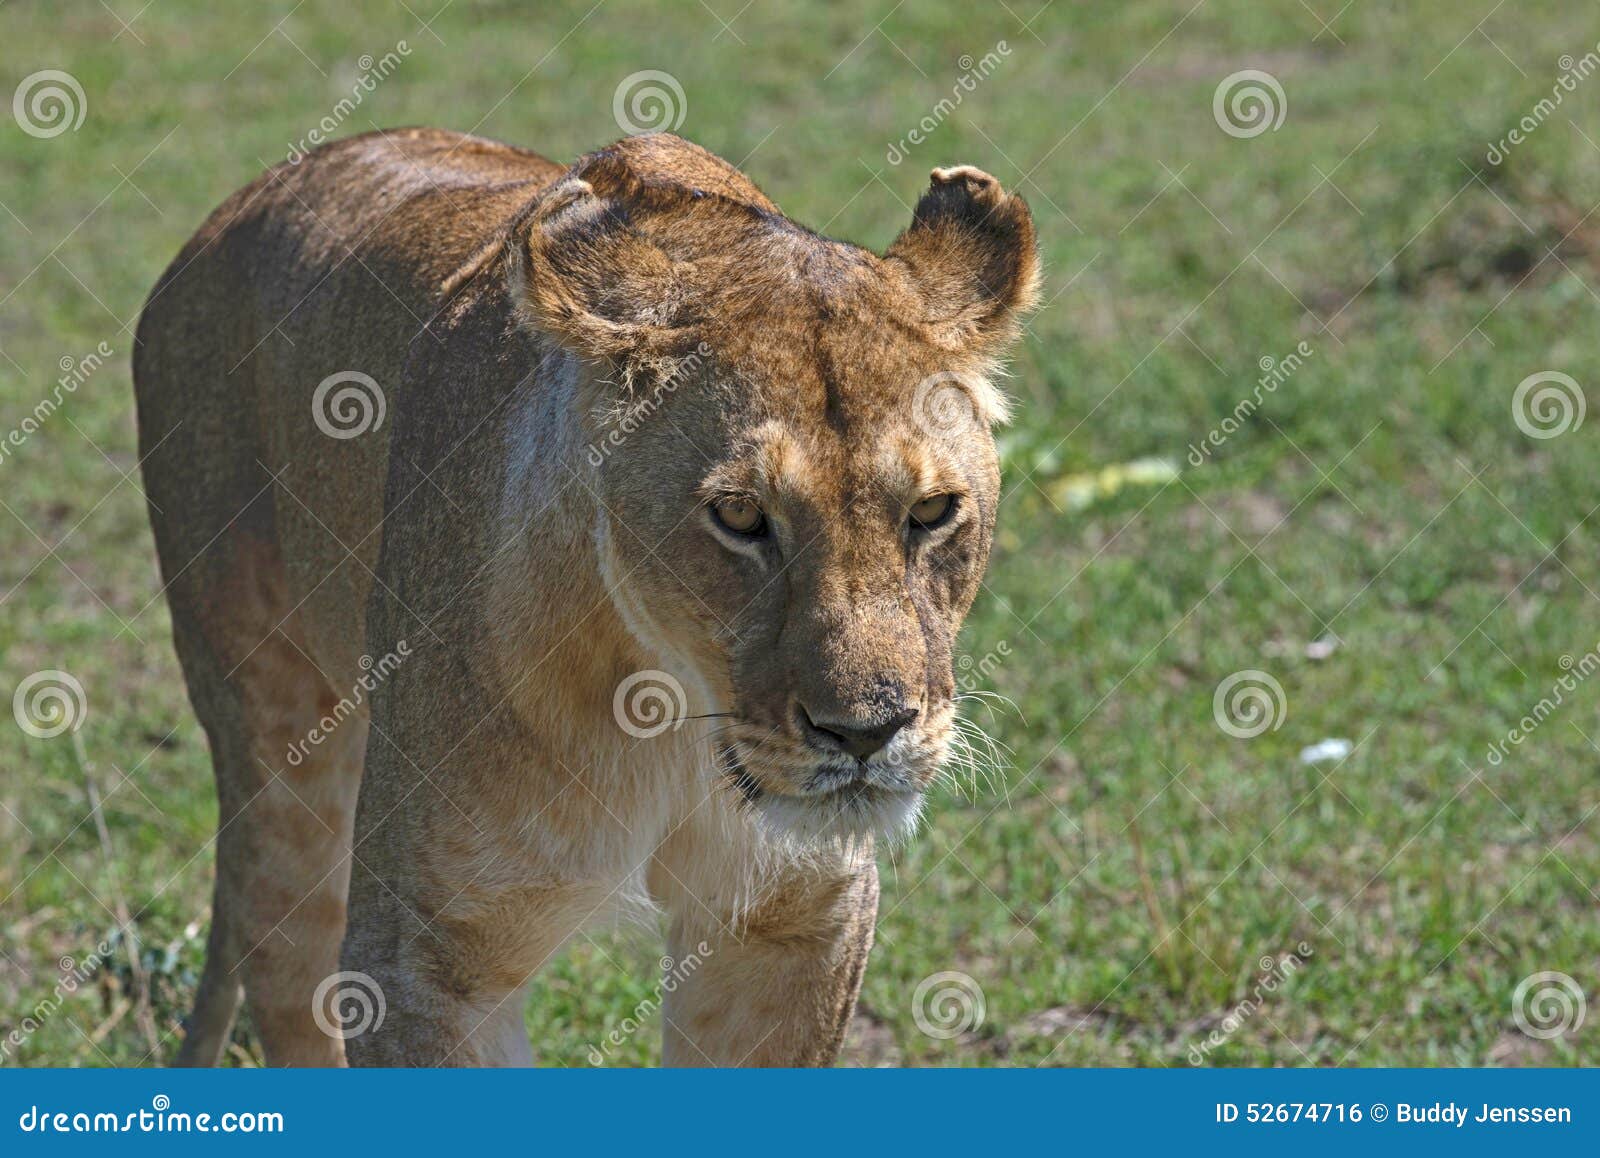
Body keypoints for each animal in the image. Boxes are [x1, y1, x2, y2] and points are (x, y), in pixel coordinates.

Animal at [133, 128, 1038, 1066]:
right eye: (740, 517)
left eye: (931, 512)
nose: (865, 735)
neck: (672, 713)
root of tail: (237, 206)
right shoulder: (422, 957)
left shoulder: (794, 925)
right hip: (276, 744)